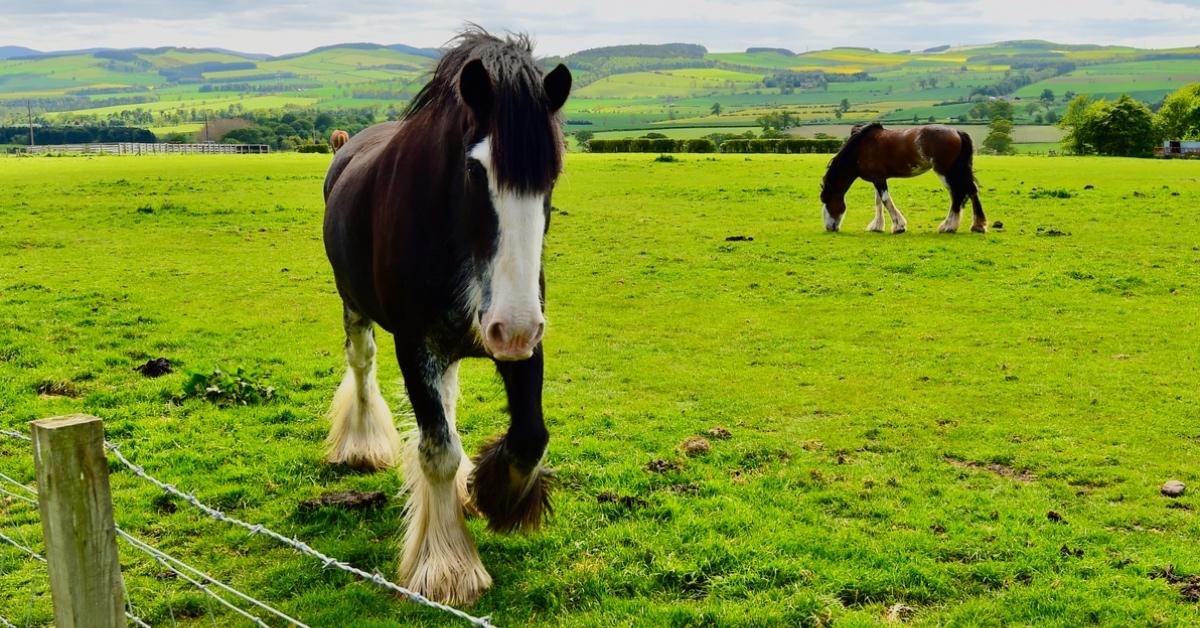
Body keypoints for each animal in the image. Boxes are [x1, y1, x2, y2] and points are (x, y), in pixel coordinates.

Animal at [321, 29, 571, 605]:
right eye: (474, 170)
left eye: (553, 173)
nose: (512, 326)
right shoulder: (415, 343)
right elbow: (437, 450)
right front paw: (448, 566)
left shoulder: (524, 337)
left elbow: (530, 436)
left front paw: (493, 494)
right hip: (356, 305)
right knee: (362, 365)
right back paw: (362, 445)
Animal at [820, 123, 987, 234]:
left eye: (827, 201)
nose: (829, 227)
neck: (860, 148)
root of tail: (957, 132)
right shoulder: (877, 178)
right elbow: (878, 202)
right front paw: (877, 226)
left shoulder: (879, 179)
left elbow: (885, 200)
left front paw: (898, 226)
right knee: (970, 191)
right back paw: (977, 225)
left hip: (946, 172)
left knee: (958, 195)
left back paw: (948, 226)